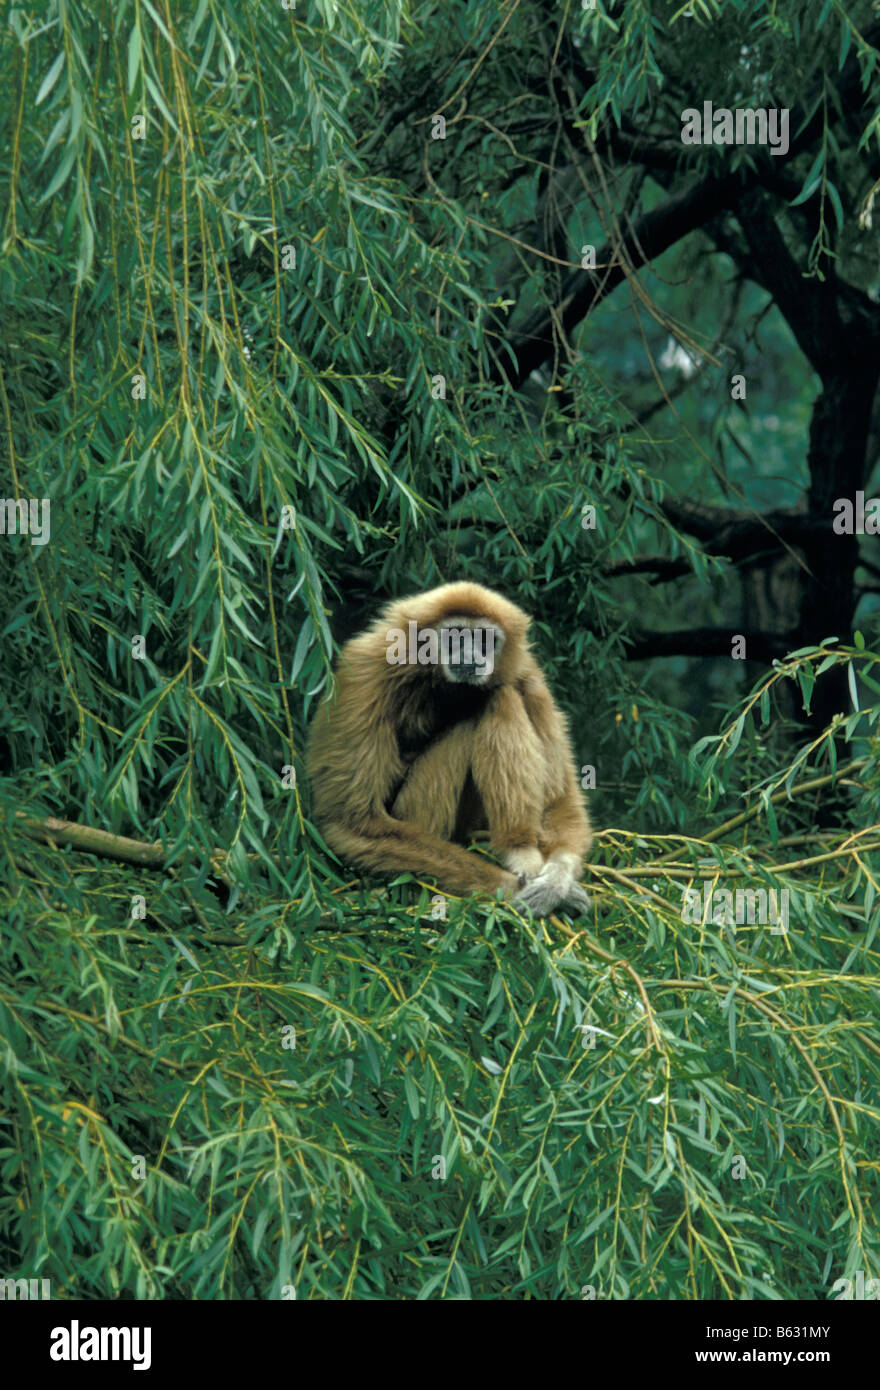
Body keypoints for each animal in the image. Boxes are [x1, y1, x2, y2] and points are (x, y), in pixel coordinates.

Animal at [306, 581, 592, 917]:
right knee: (494, 702)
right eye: (456, 635)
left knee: (501, 695)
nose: (470, 653)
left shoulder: (528, 675)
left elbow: (560, 800)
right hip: (414, 813)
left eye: (484, 639)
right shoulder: (365, 674)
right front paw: (510, 888)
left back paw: (520, 850)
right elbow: (351, 822)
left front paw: (557, 879)